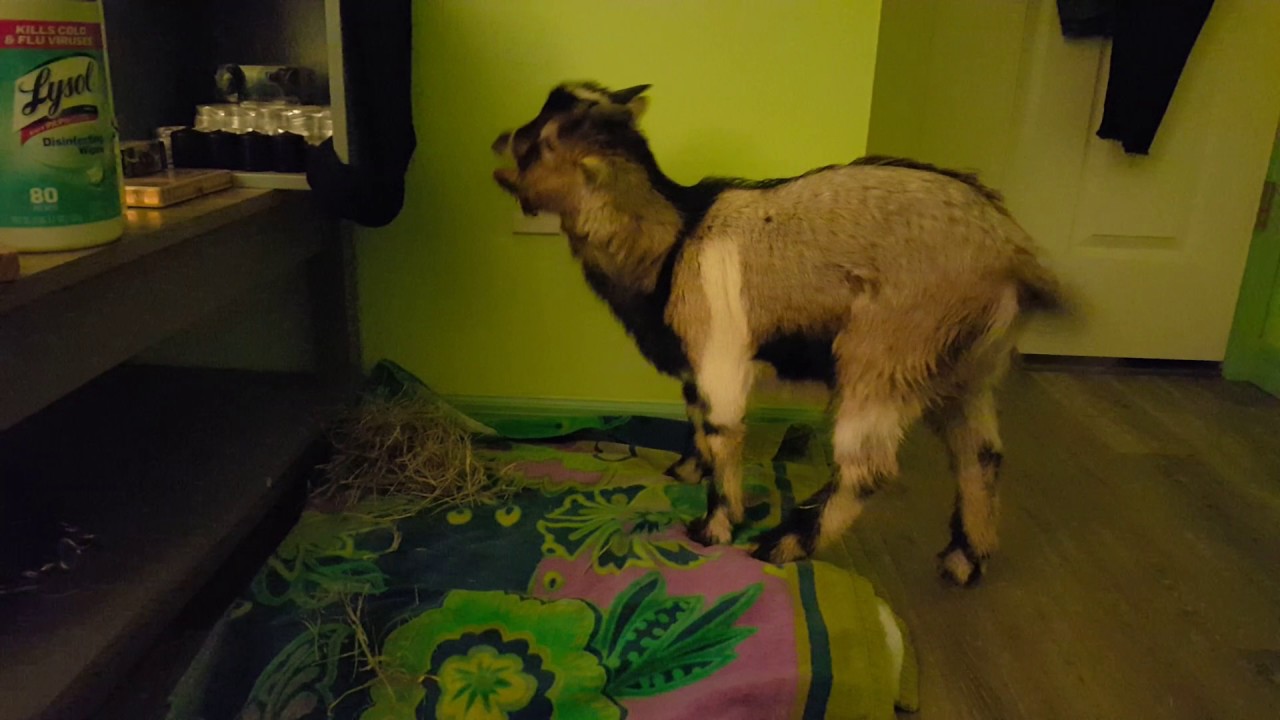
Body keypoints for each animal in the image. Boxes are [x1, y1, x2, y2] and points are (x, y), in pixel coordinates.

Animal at [491, 81, 1065, 586]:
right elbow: (695, 420)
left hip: (886, 353)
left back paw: (781, 545)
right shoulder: (694, 367)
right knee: (981, 454)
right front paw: (685, 472)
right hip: (969, 367)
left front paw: (714, 527)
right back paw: (965, 558)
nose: (498, 140)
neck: (673, 241)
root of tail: (1013, 254)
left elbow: (721, 430)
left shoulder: (720, 357)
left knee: (868, 467)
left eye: (538, 144)